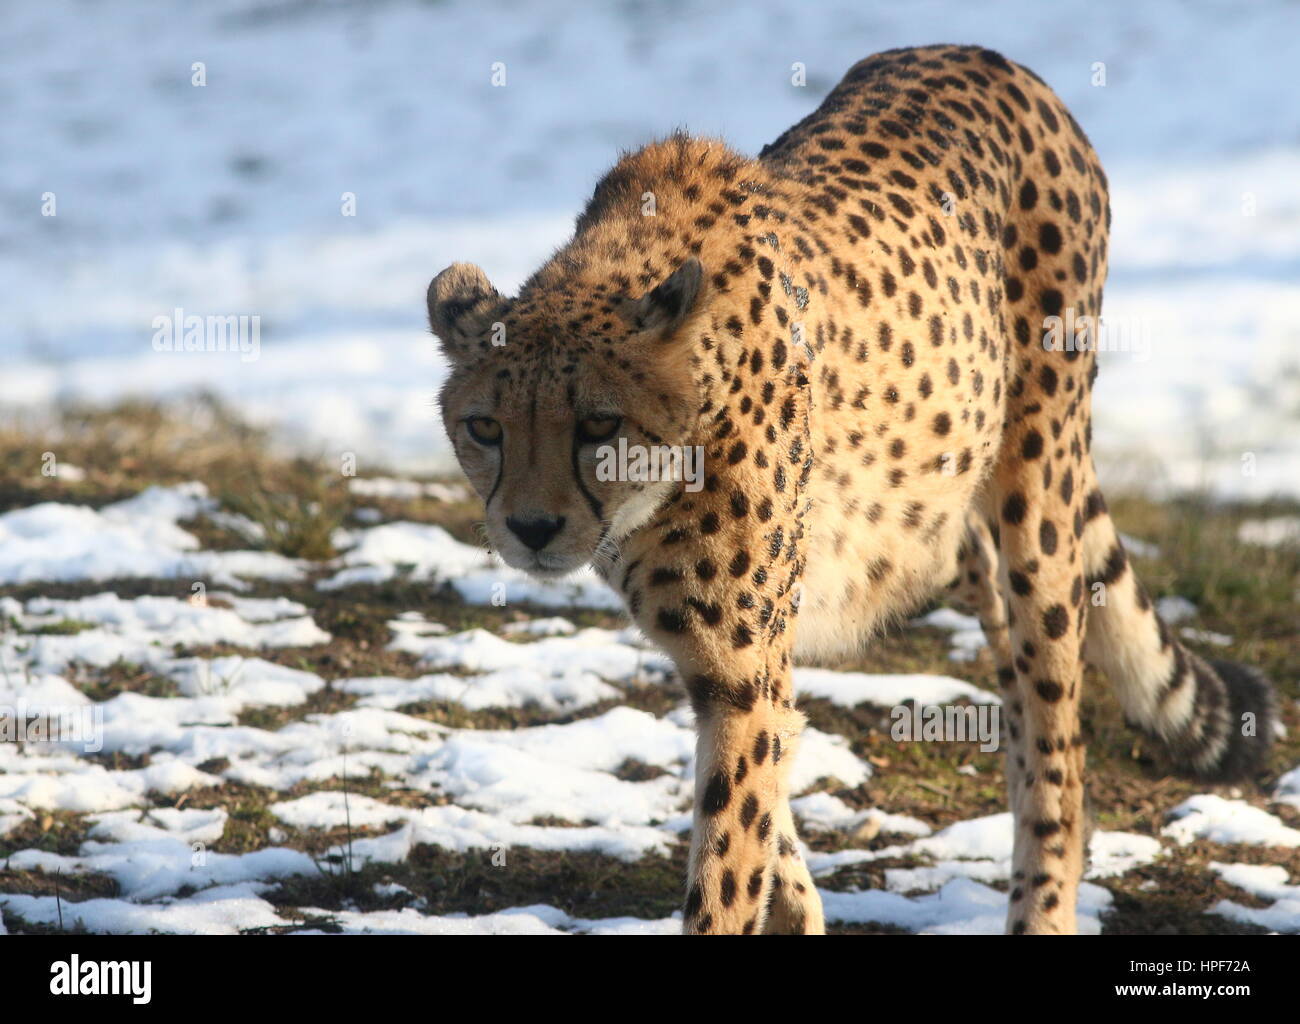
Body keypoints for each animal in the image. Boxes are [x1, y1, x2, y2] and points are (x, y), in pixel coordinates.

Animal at [426, 44, 1275, 935]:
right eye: (485, 428)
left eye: (598, 423)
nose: (531, 528)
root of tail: (987, 57)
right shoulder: (728, 664)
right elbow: (763, 812)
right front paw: (797, 907)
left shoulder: (742, 667)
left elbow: (730, 855)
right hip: (935, 509)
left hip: (1038, 493)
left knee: (1056, 738)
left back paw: (1043, 900)